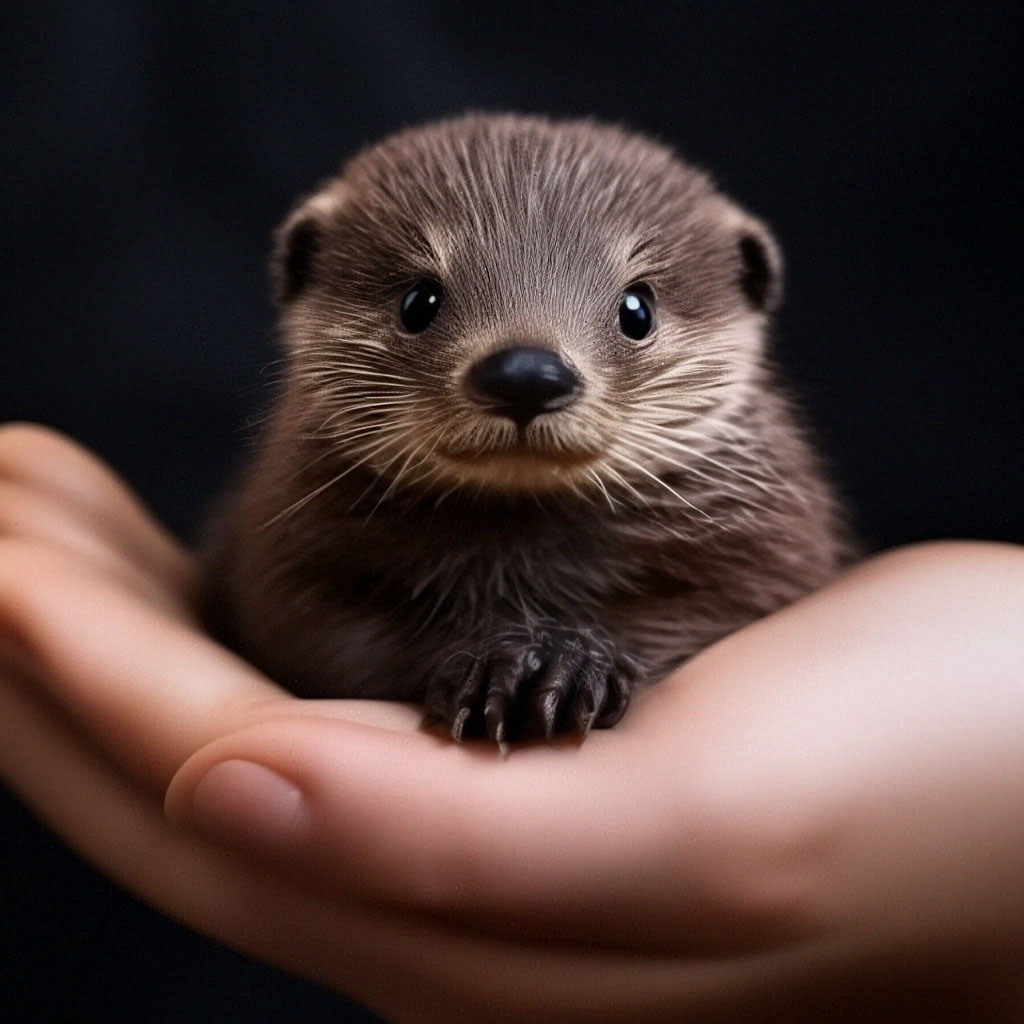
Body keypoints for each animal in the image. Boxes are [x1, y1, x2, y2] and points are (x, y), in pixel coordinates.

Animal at [203, 113, 848, 745]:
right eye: (418, 300)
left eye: (637, 309)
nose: (525, 374)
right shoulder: (282, 567)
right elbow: (334, 643)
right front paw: (504, 662)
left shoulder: (764, 561)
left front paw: (570, 661)